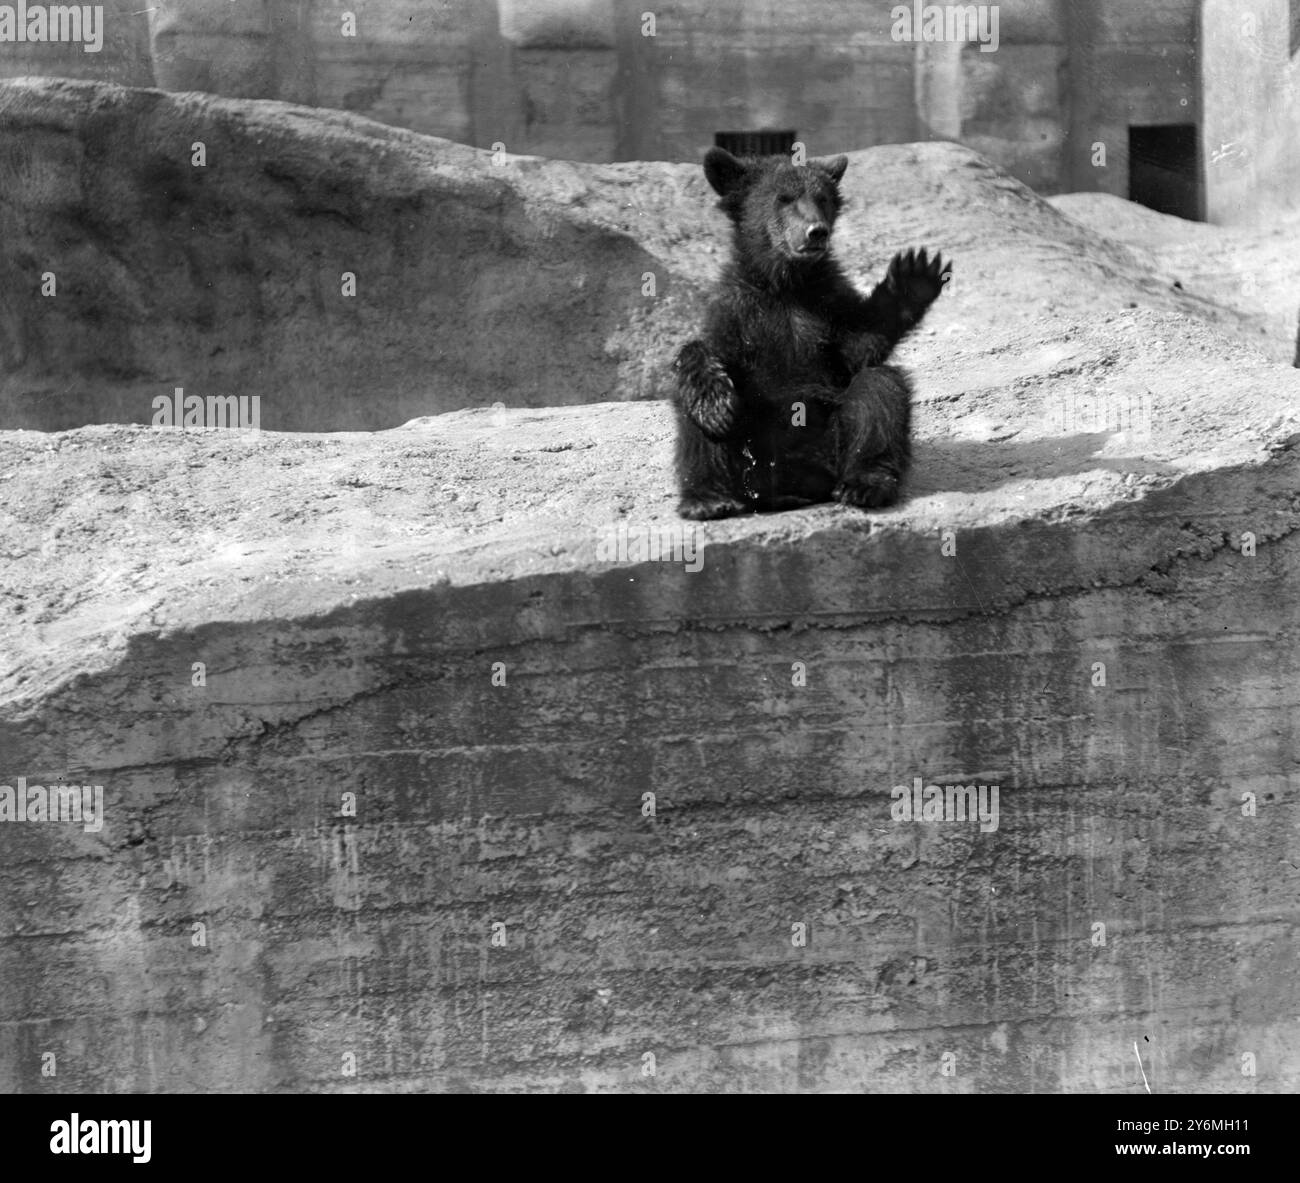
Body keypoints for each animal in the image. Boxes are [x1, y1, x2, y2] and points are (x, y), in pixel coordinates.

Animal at [671, 146, 951, 520]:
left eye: (822, 198)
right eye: (783, 199)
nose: (815, 231)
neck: (785, 284)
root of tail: (795, 487)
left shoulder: (828, 304)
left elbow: (858, 348)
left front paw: (913, 277)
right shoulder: (737, 312)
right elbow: (709, 355)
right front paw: (712, 399)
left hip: (831, 441)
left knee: (880, 389)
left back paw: (865, 485)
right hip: (752, 456)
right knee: (691, 417)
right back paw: (709, 499)